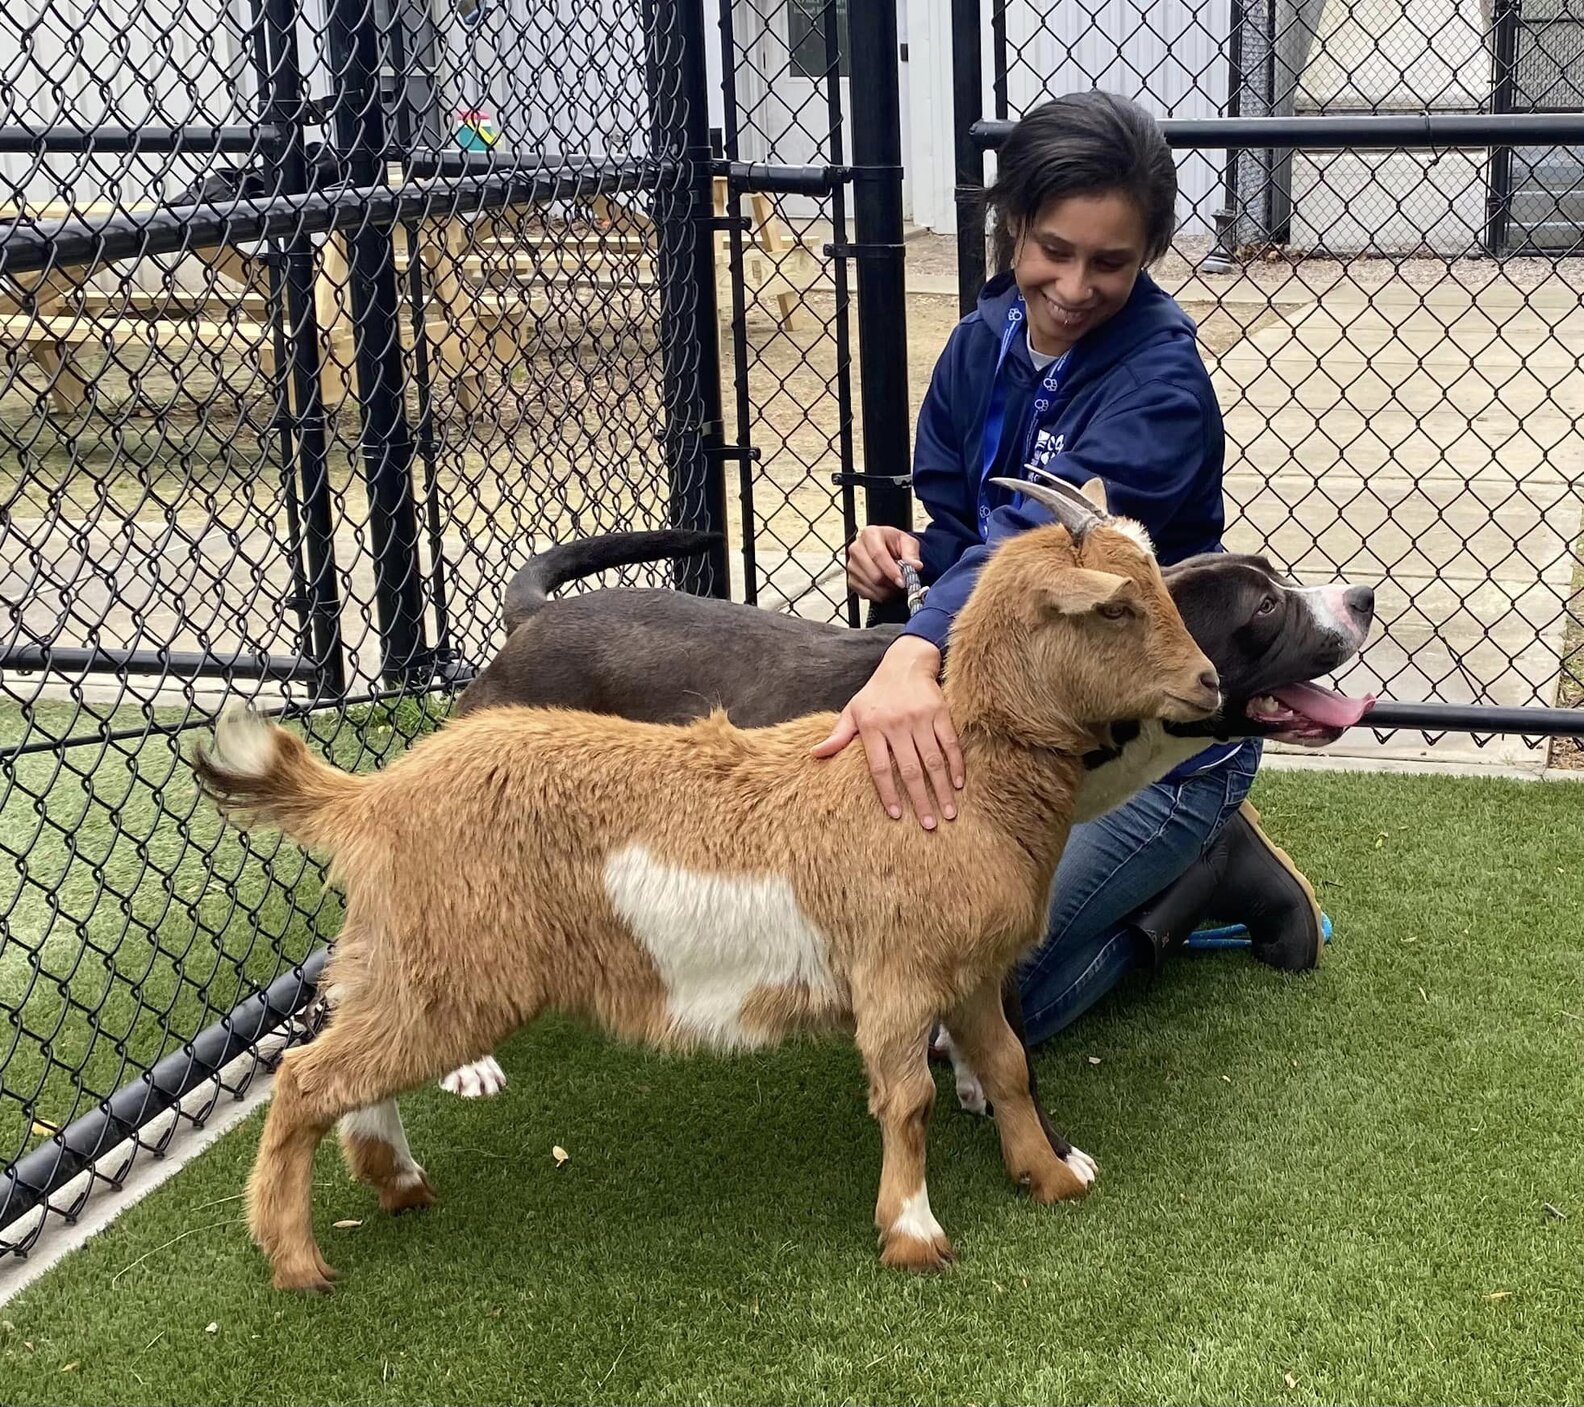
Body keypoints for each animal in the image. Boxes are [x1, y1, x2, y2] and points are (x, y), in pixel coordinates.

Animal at [192, 480, 1219, 1292]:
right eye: (1117, 607)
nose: (1209, 683)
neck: (959, 770)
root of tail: (371, 797)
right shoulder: (895, 977)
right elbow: (906, 1099)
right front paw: (914, 1233)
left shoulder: (967, 974)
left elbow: (1005, 1065)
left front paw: (1051, 1175)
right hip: (453, 975)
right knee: (306, 1077)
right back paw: (297, 1258)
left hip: (403, 957)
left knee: (338, 1054)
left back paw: (395, 1180)